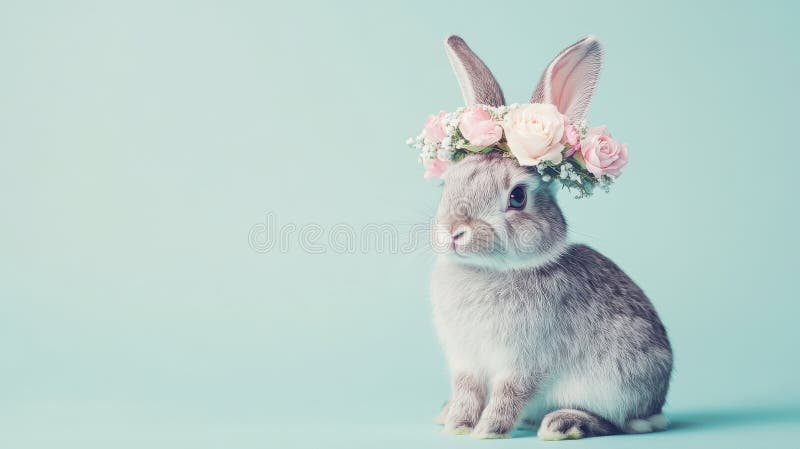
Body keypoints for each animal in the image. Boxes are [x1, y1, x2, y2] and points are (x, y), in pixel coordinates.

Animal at [429, 35, 673, 441]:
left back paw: (564, 424)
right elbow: (467, 391)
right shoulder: (466, 363)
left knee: (616, 424)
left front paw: (488, 430)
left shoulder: (524, 362)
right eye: (447, 184)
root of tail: (655, 407)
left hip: (612, 386)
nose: (454, 232)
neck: (489, 271)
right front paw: (458, 425)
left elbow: (509, 394)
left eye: (517, 197)